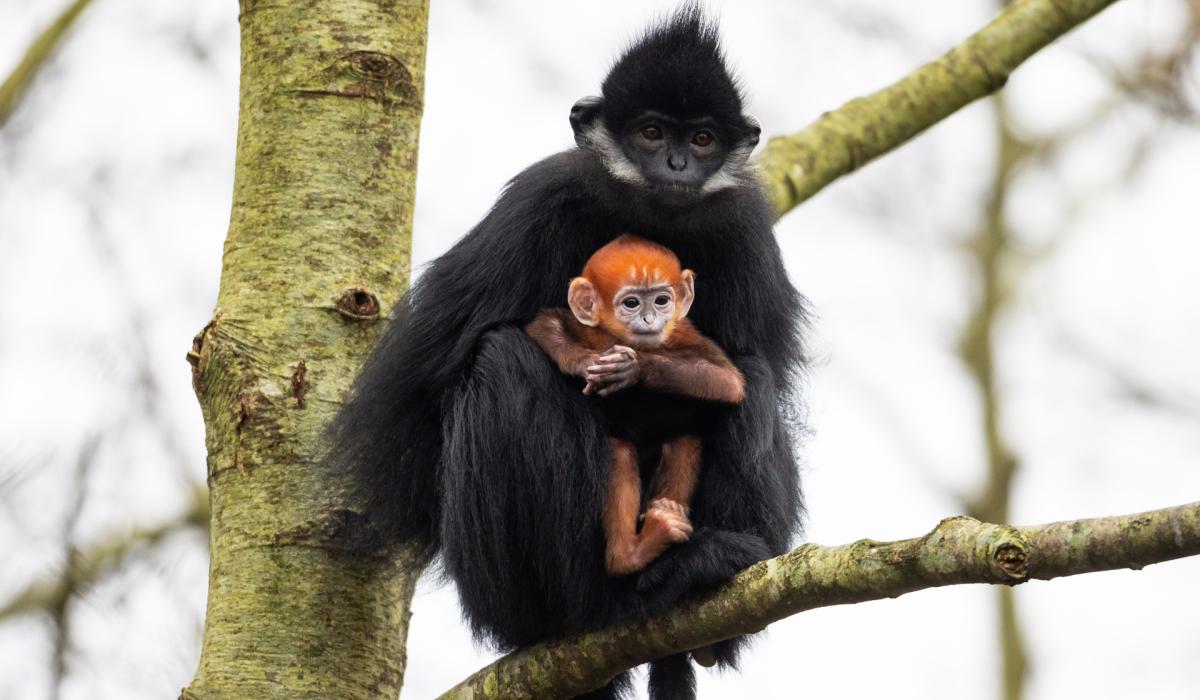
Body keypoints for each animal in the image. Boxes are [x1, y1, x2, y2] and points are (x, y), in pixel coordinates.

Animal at [525, 235, 746, 579]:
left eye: (661, 300)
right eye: (631, 303)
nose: (650, 320)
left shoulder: (683, 331)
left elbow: (727, 380)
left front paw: (634, 368)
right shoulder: (585, 326)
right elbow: (544, 324)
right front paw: (585, 362)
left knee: (683, 436)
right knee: (620, 452)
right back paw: (628, 556)